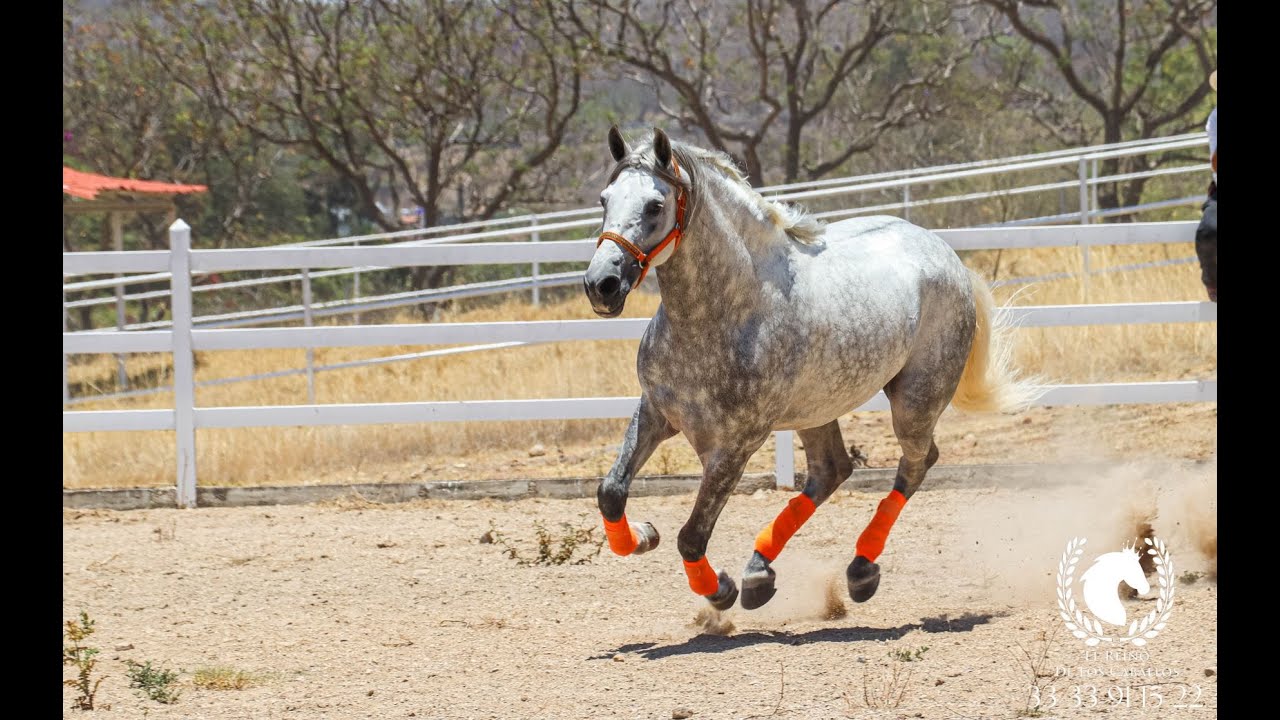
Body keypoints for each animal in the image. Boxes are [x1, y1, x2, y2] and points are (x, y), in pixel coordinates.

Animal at [583, 126, 1038, 611]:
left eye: (655, 205)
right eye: (604, 199)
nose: (601, 285)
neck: (722, 313)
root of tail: (947, 254)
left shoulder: (734, 447)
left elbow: (691, 536)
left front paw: (720, 590)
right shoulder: (655, 411)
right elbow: (611, 493)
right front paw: (644, 535)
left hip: (915, 402)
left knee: (916, 464)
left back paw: (859, 571)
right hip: (817, 409)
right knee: (831, 471)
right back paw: (760, 572)